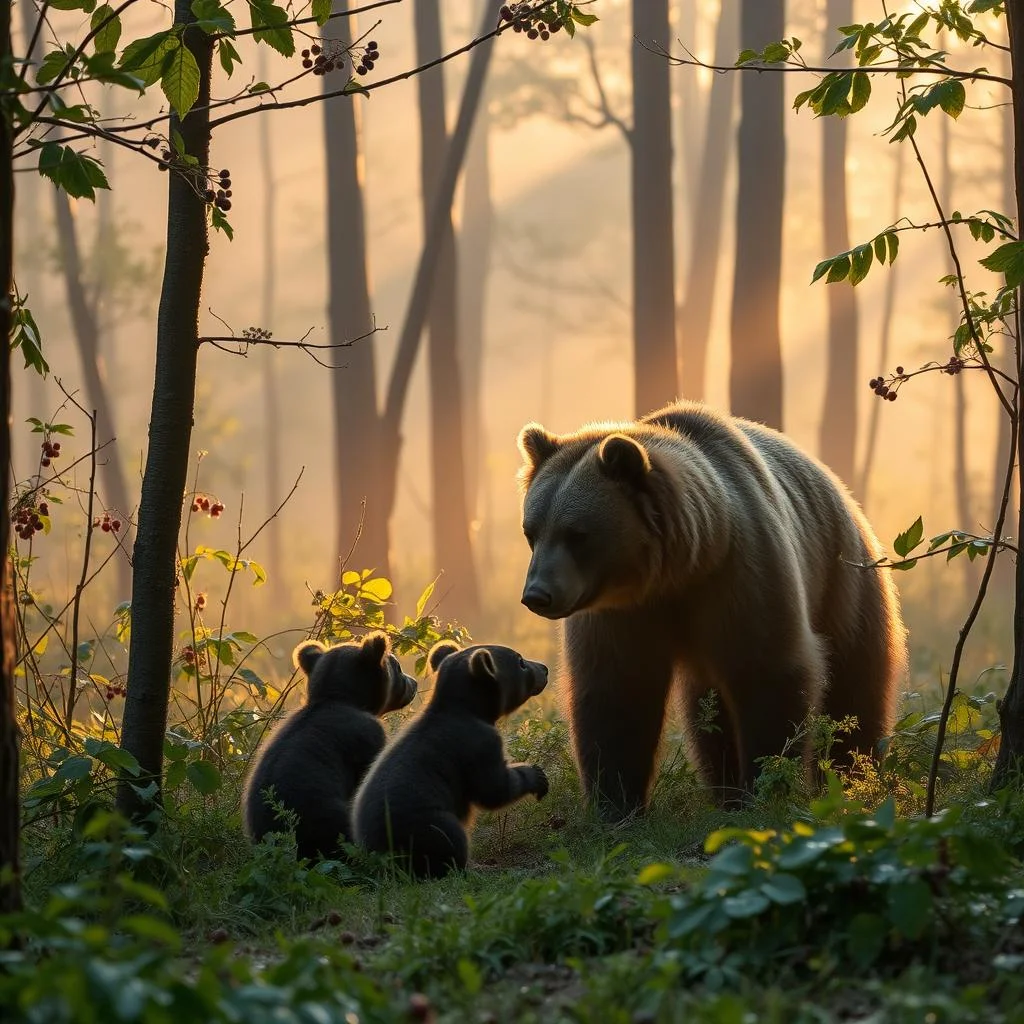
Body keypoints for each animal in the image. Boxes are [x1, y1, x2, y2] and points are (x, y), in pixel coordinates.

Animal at [352, 641, 549, 879]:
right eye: (520, 661)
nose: (545, 669)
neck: (471, 709)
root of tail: (379, 859)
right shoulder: (477, 744)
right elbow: (493, 789)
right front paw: (537, 776)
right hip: (426, 824)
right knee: (451, 838)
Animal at [516, 399, 907, 818]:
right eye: (532, 531)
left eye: (577, 534)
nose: (538, 594)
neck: (678, 571)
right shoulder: (621, 612)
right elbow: (616, 692)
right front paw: (616, 805)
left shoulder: (740, 572)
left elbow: (769, 673)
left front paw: (766, 788)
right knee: (709, 713)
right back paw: (725, 792)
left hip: (844, 580)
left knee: (854, 691)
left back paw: (852, 780)